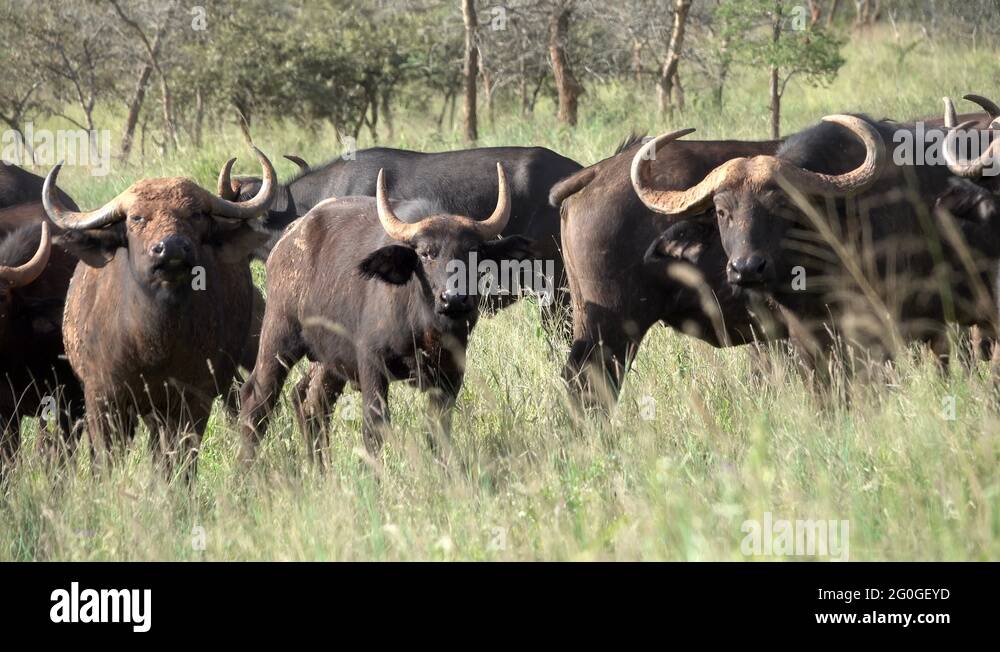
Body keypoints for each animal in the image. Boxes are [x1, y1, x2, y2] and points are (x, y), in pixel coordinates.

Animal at [239, 164, 535, 463]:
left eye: (472, 252)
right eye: (426, 253)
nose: (453, 298)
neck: (425, 326)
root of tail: (290, 237)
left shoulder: (451, 374)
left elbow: (438, 432)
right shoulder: (372, 365)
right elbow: (374, 426)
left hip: (328, 358)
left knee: (312, 403)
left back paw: (320, 467)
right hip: (278, 336)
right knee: (258, 398)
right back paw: (246, 468)